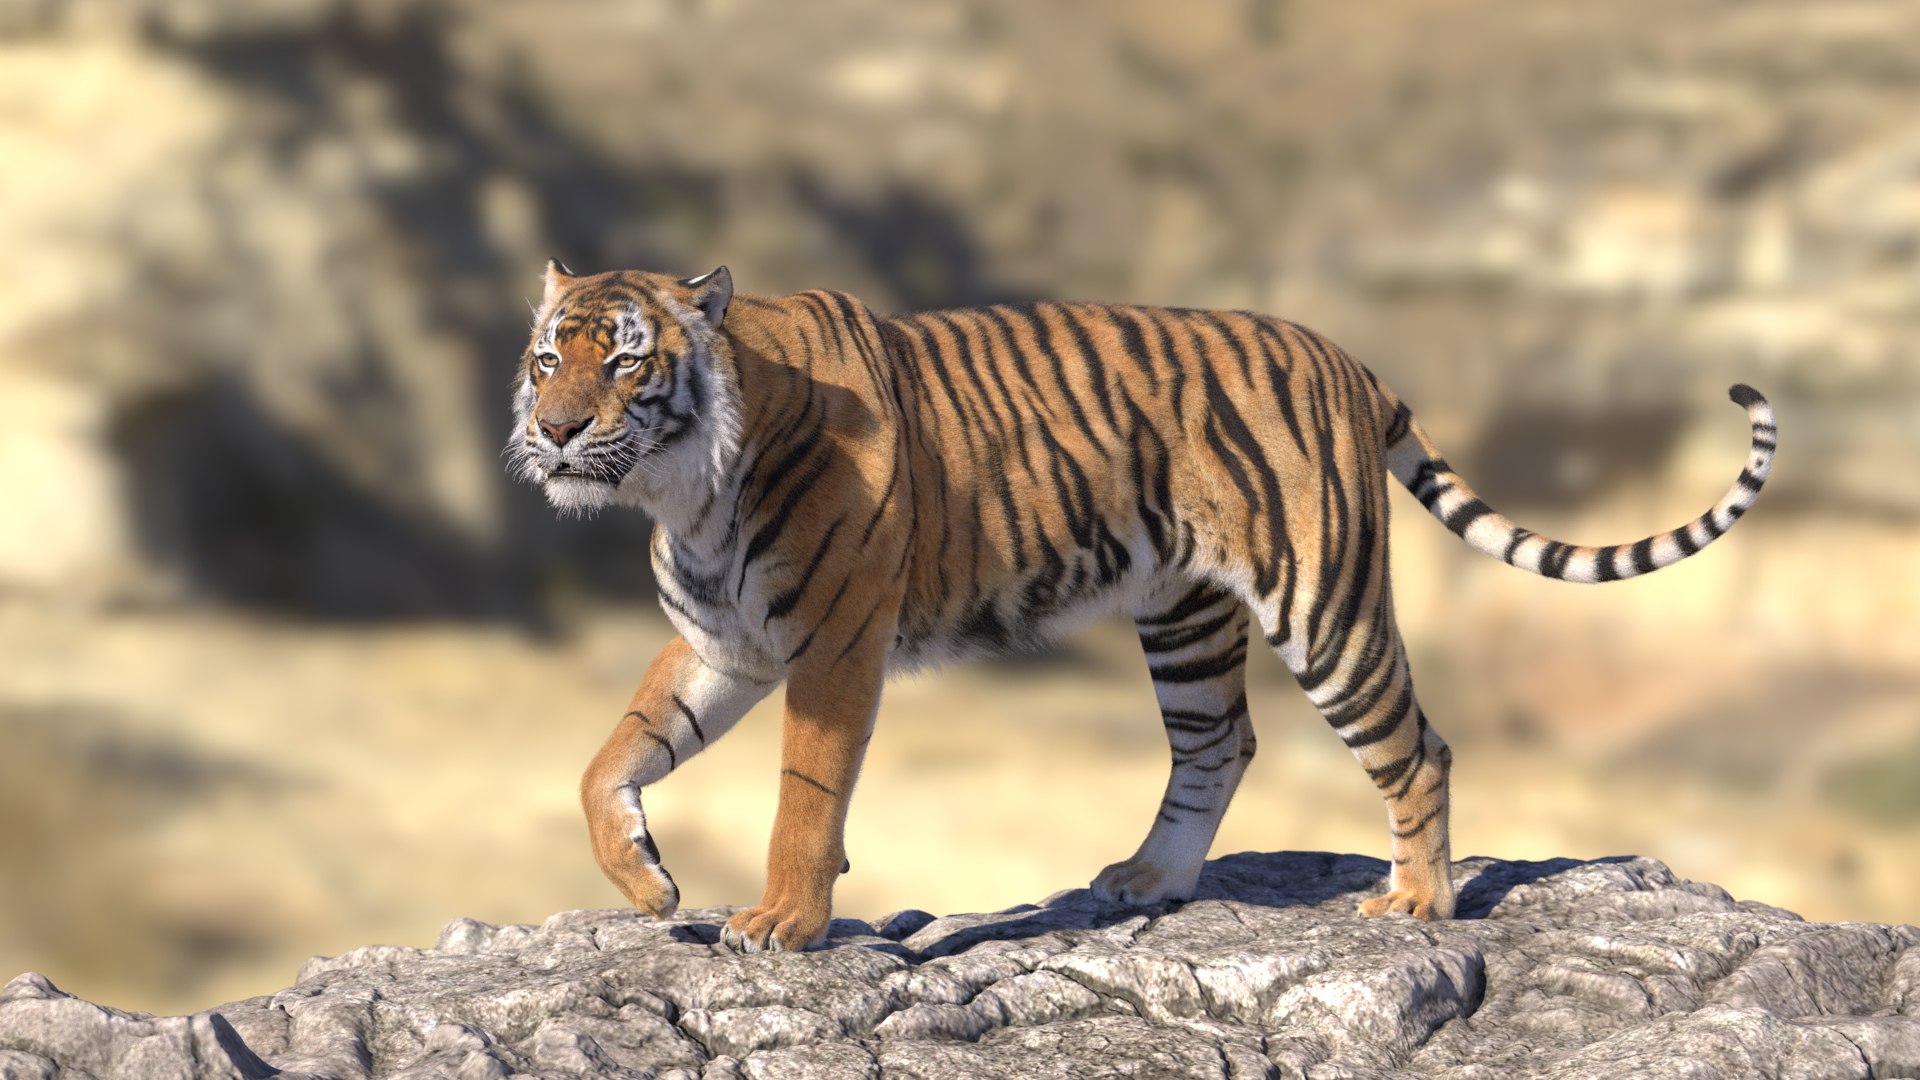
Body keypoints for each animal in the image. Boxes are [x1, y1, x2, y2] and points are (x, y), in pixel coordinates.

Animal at [510, 260, 1775, 953]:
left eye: (627, 363)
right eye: (544, 362)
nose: (556, 432)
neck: (684, 489)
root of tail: (1349, 360)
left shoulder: (829, 646)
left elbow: (803, 800)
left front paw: (781, 924)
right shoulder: (723, 641)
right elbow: (609, 759)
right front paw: (649, 878)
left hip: (1325, 603)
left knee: (1418, 747)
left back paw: (1418, 901)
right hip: (1185, 615)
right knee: (1220, 743)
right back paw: (1150, 881)